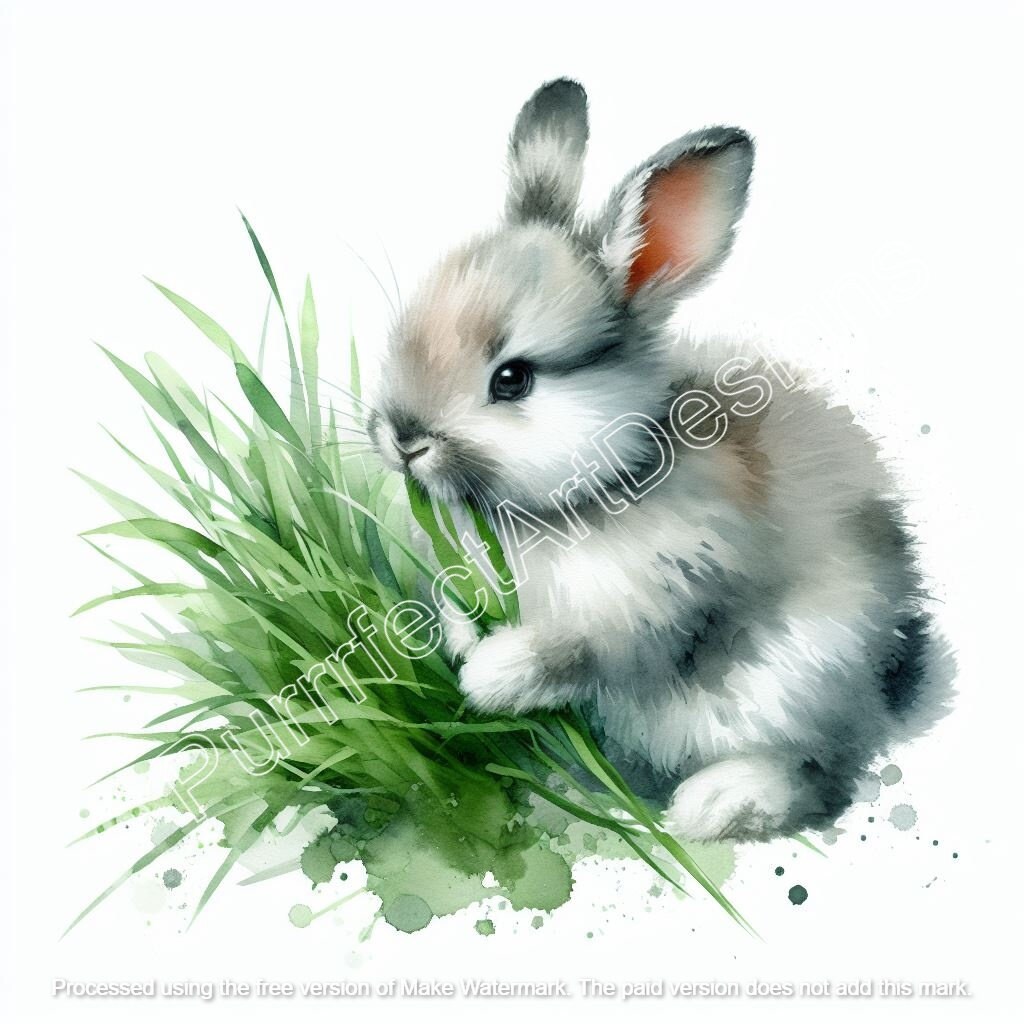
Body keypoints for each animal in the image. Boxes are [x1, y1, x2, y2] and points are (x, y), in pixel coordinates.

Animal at [367, 78, 954, 842]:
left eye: (512, 379)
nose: (403, 437)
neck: (582, 494)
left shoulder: (668, 592)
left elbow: (582, 649)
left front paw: (491, 676)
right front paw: (464, 643)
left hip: (806, 682)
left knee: (822, 770)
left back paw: (716, 804)